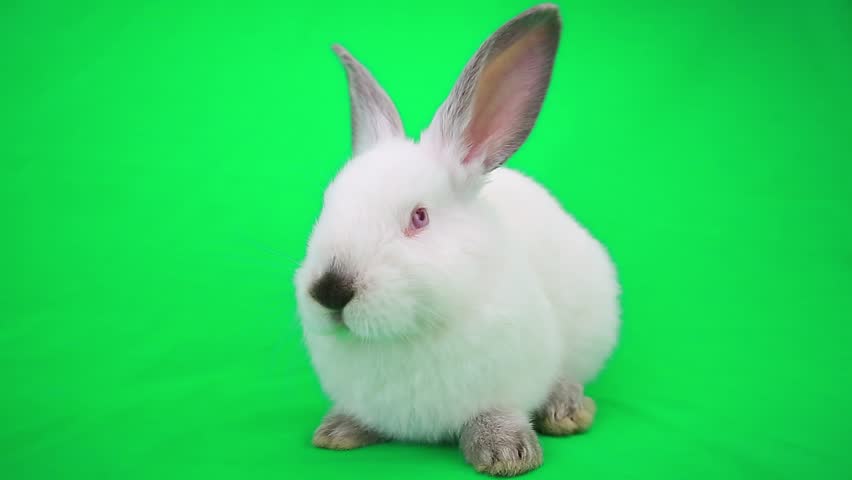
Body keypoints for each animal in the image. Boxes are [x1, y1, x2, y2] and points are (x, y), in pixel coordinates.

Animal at [293, 3, 621, 476]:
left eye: (419, 217)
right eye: (327, 206)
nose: (329, 291)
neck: (407, 334)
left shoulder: (509, 381)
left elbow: (498, 412)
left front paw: (507, 452)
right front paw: (337, 431)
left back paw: (567, 408)